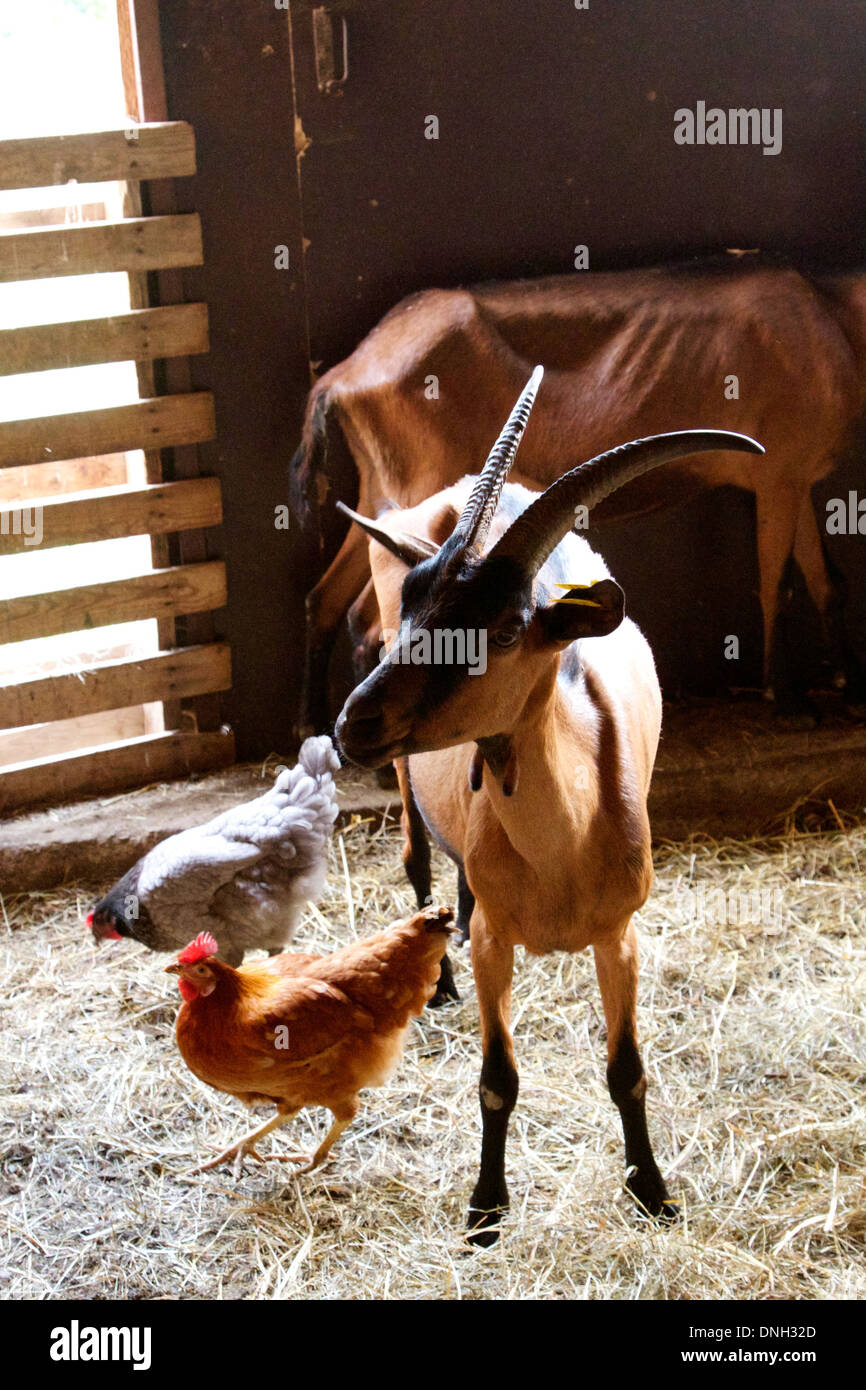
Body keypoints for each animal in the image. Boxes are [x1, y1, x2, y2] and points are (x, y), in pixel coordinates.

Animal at [293, 259, 866, 735]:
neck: (830, 312)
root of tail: (342, 374)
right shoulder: (778, 476)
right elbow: (778, 584)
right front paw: (790, 701)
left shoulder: (799, 480)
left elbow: (828, 581)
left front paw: (848, 691)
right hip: (413, 484)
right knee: (368, 615)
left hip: (377, 489)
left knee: (327, 598)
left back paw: (314, 726)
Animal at [335, 367, 763, 1243]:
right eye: (416, 602)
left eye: (503, 628)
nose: (353, 721)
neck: (562, 845)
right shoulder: (501, 944)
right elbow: (497, 1077)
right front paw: (485, 1210)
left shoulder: (620, 935)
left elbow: (627, 1071)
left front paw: (653, 1192)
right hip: (406, 779)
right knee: (418, 857)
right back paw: (440, 979)